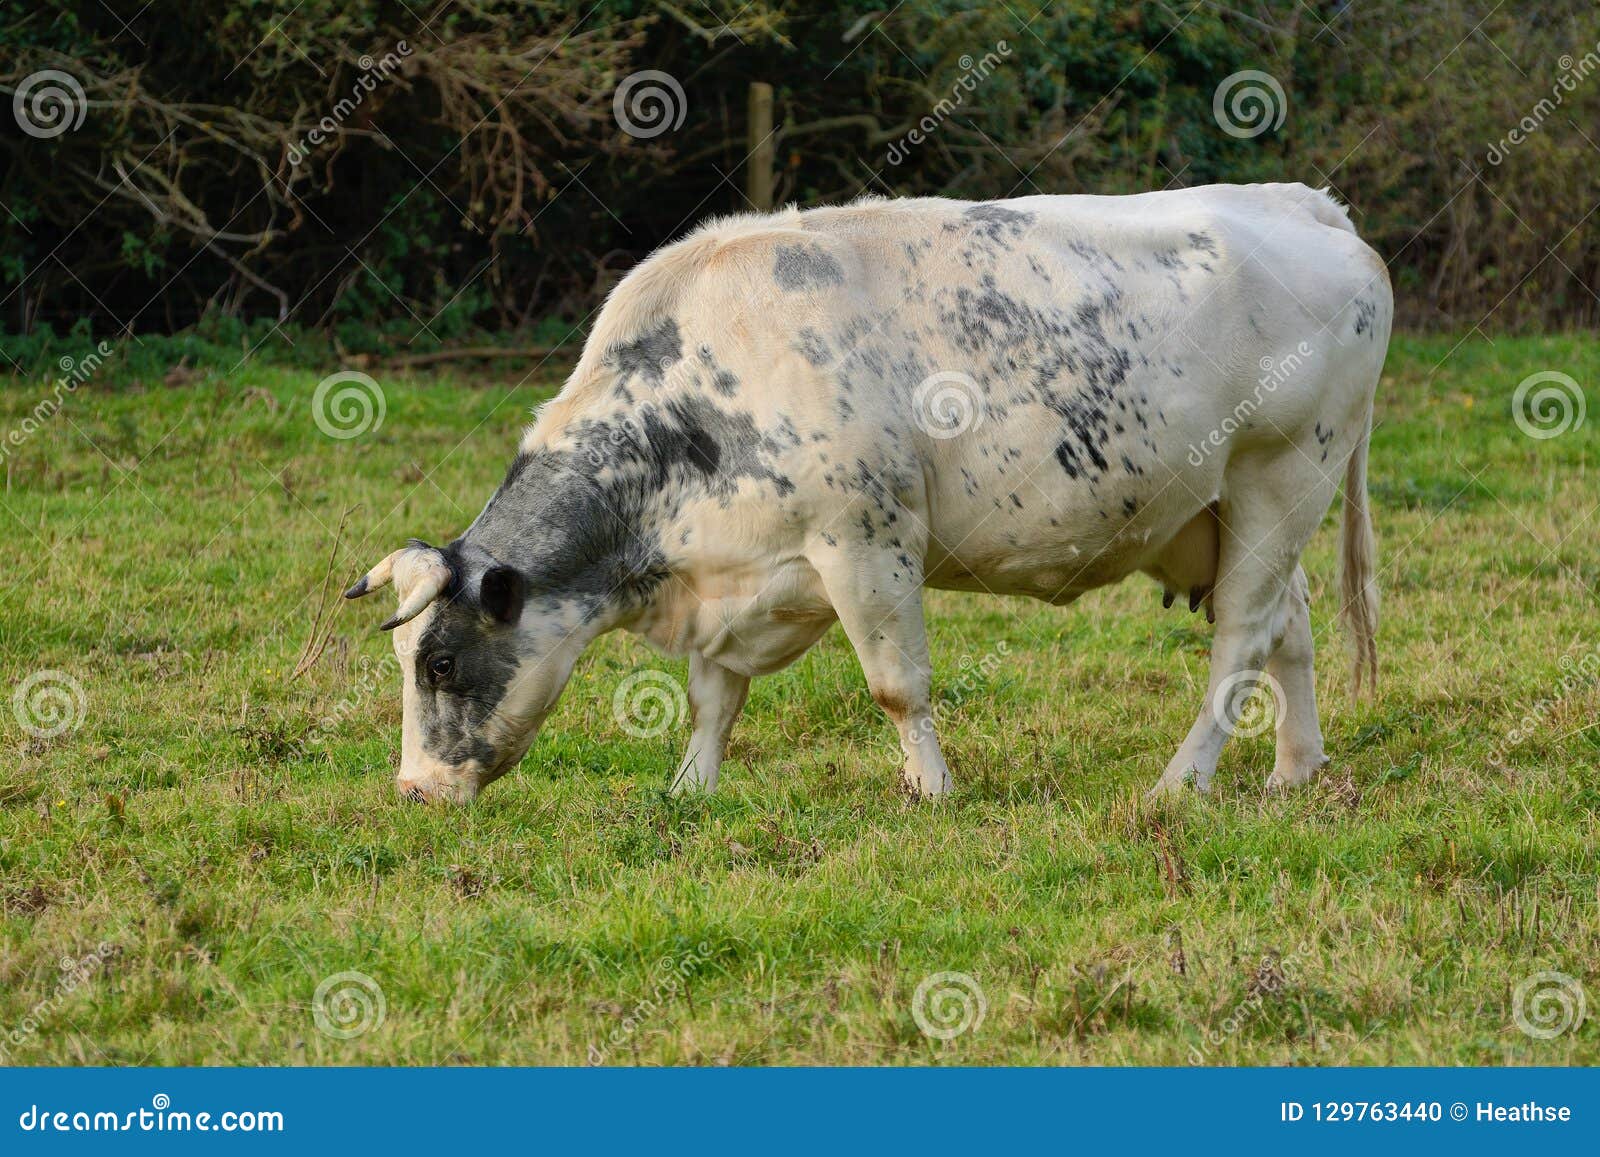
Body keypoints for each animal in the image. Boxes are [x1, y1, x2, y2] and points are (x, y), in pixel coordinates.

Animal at [345, 183, 1390, 804]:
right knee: (1290, 626)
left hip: (1283, 473)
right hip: (1224, 509)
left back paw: (1180, 782)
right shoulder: (734, 574)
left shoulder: (866, 543)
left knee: (1241, 641)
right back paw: (1296, 769)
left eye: (440, 662)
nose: (412, 789)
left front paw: (933, 792)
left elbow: (896, 685)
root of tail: (1308, 204)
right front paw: (691, 789)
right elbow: (712, 696)